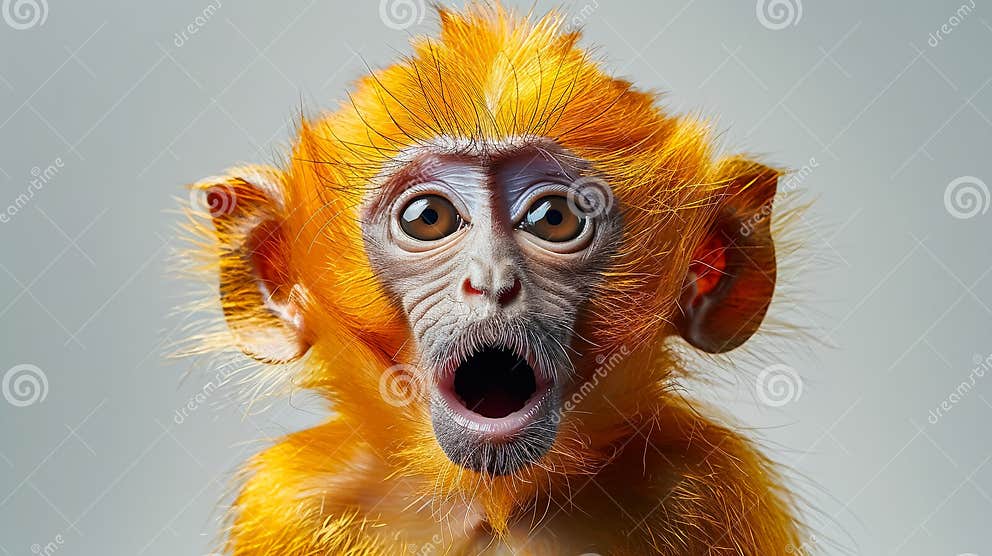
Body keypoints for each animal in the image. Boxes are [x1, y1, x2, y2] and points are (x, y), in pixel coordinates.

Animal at [181, 4, 805, 555]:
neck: (487, 506)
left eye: (554, 218)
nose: (493, 281)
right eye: (428, 218)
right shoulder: (291, 500)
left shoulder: (708, 487)